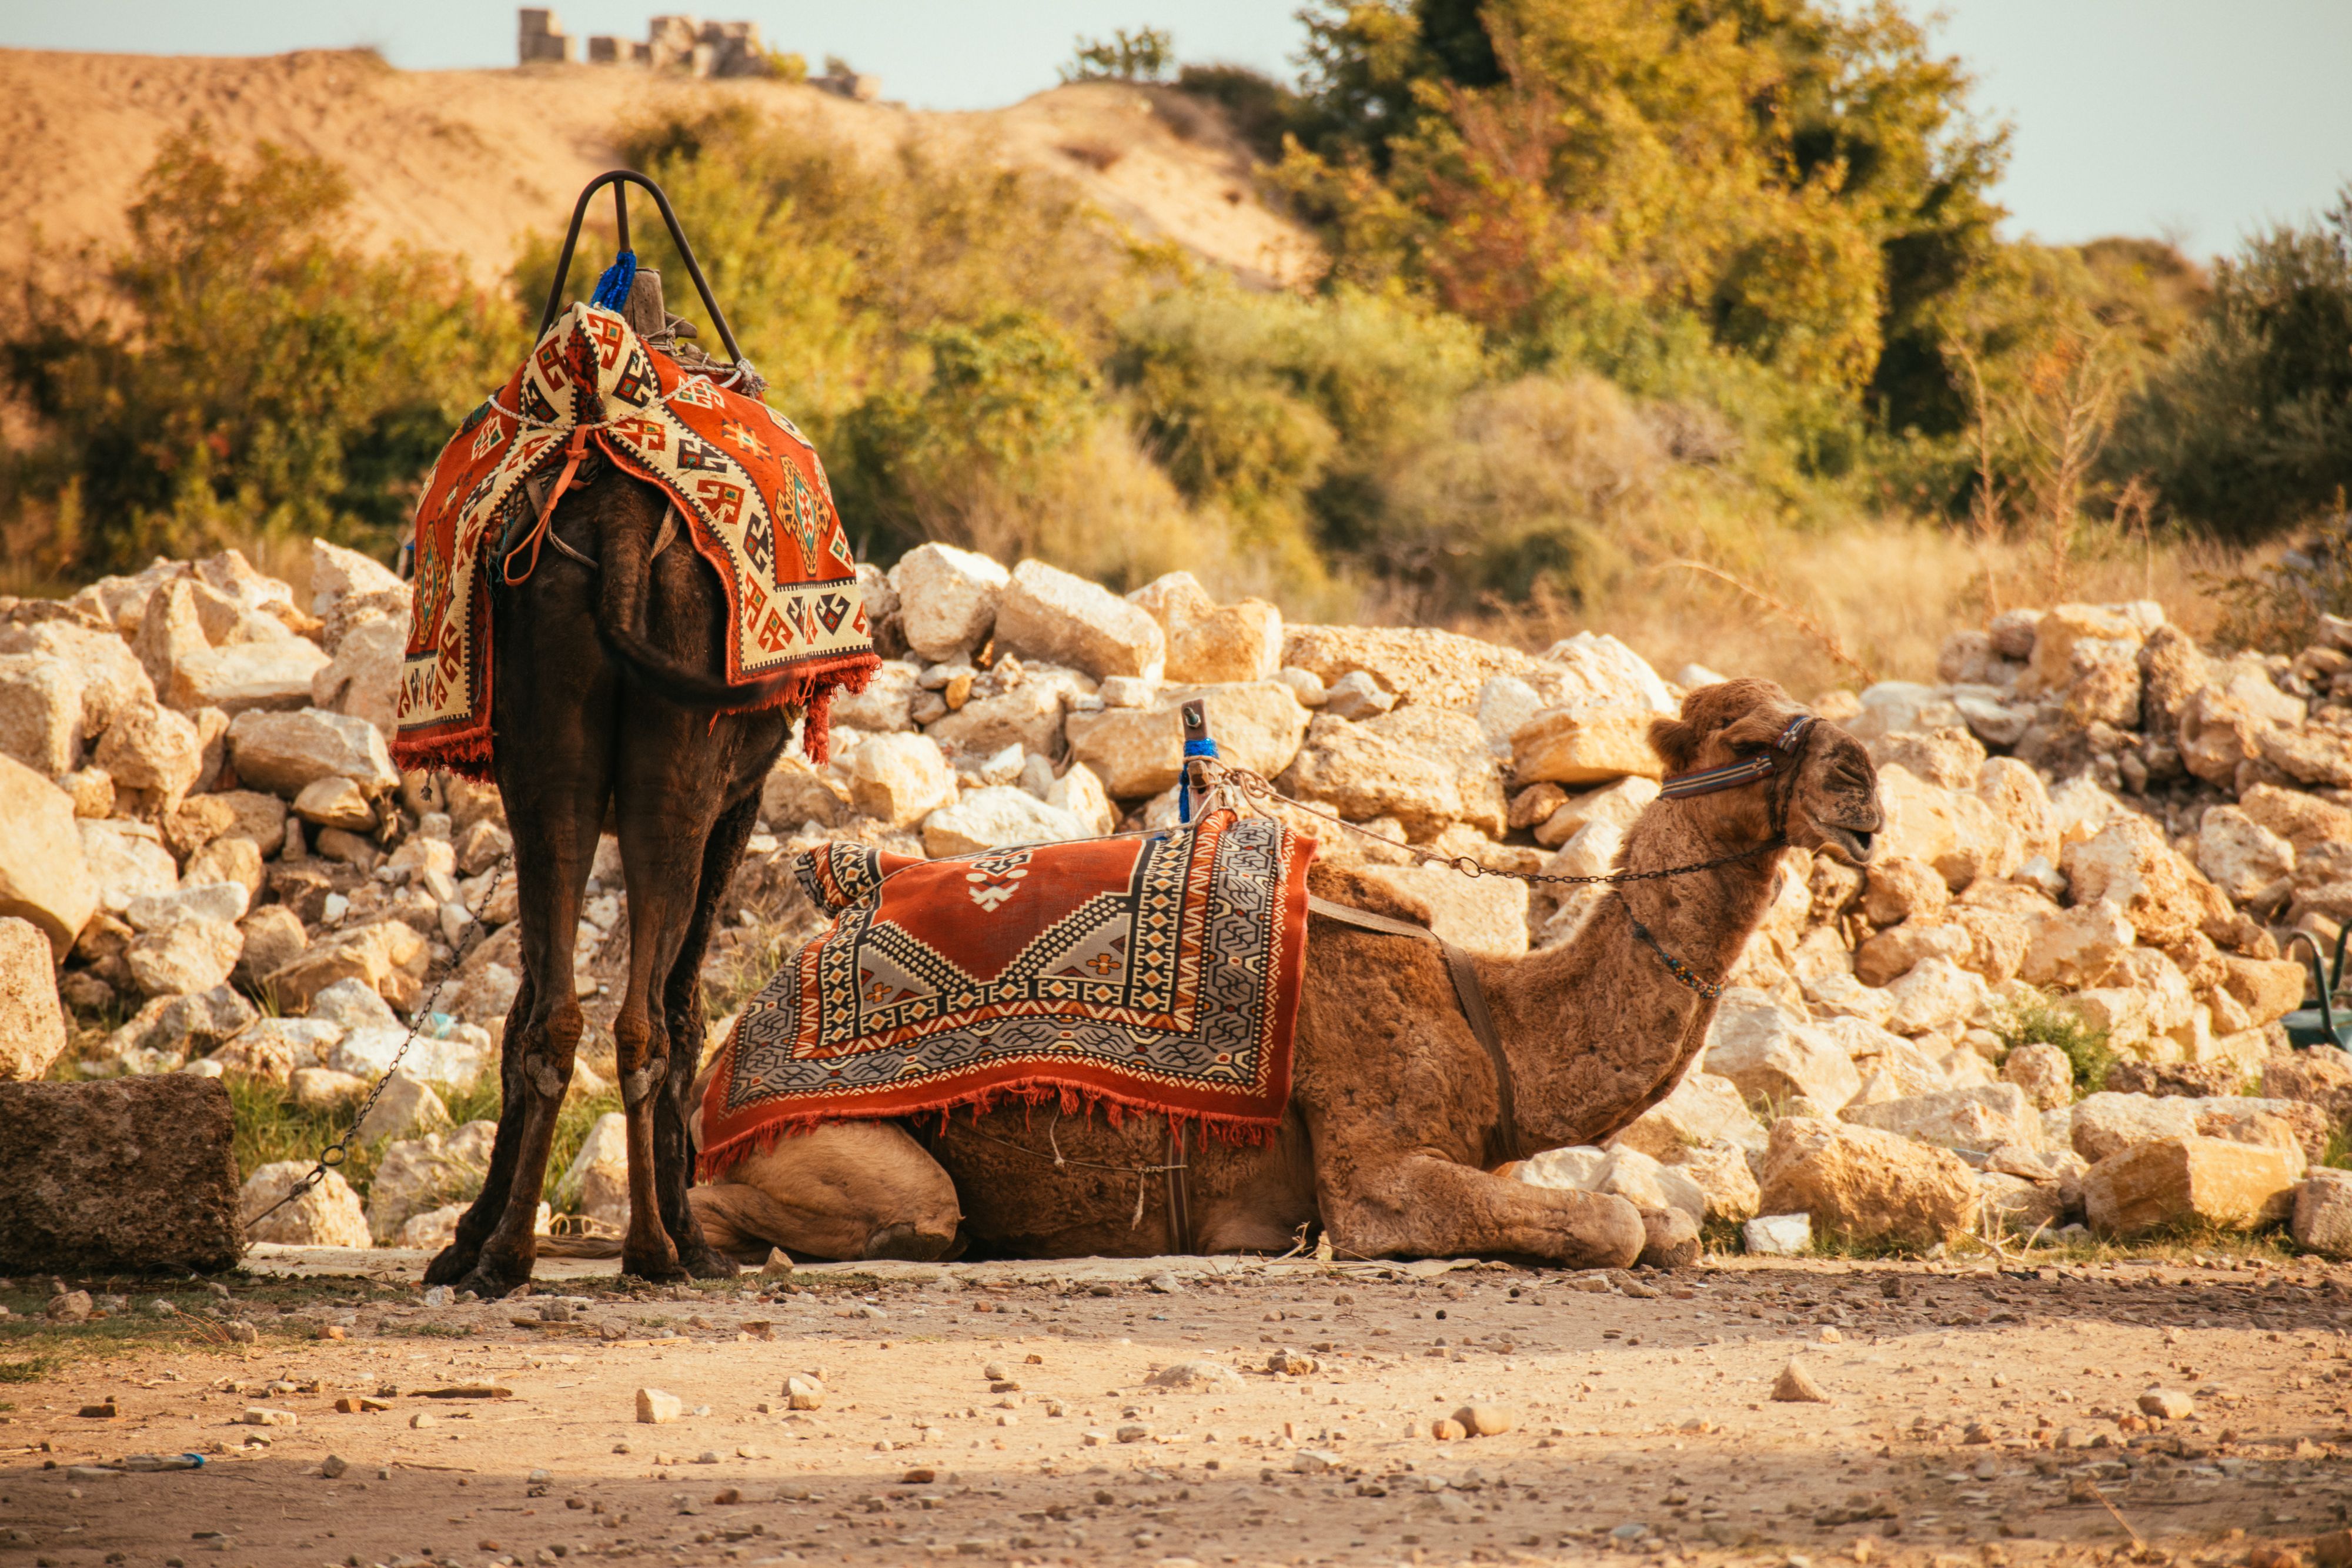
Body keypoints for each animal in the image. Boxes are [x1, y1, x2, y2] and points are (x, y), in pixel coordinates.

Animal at [675, 678, 1884, 1271]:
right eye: (1748, 737)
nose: (1866, 783)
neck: (1487, 1014)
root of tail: (725, 1061)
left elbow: (1663, 1228)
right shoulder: (1375, 1166)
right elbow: (1620, 1225)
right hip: (815, 1148)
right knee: (903, 1216)